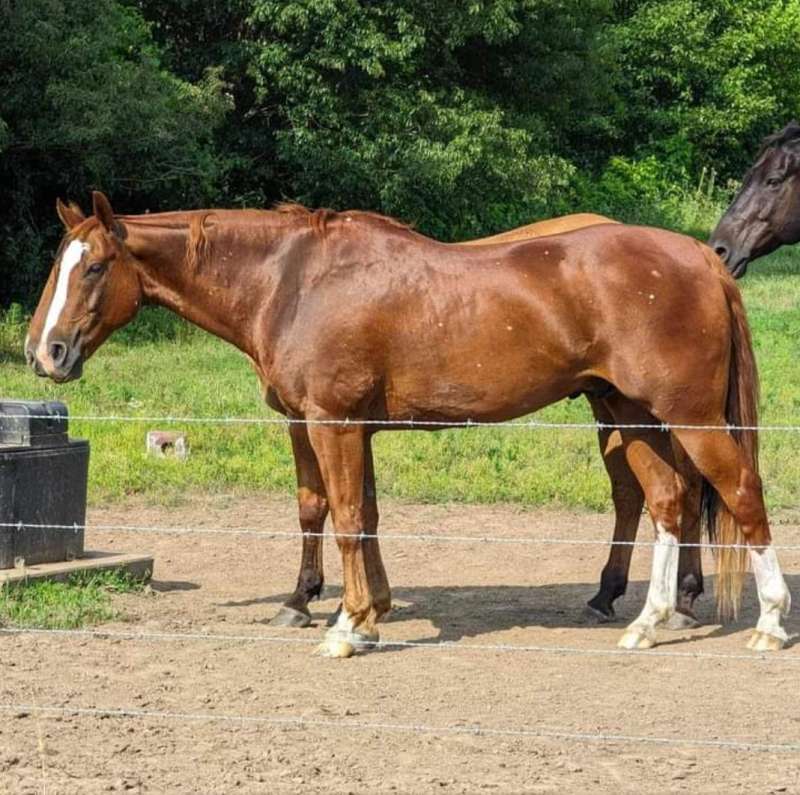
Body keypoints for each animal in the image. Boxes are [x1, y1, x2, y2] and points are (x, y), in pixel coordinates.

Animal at [27, 192, 790, 657]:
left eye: (95, 268)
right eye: (58, 264)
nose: (45, 352)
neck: (293, 282)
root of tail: (700, 257)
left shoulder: (329, 424)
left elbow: (339, 516)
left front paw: (342, 625)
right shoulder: (351, 429)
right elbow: (362, 515)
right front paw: (368, 615)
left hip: (688, 419)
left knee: (739, 494)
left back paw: (770, 622)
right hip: (632, 416)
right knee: (667, 502)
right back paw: (647, 621)